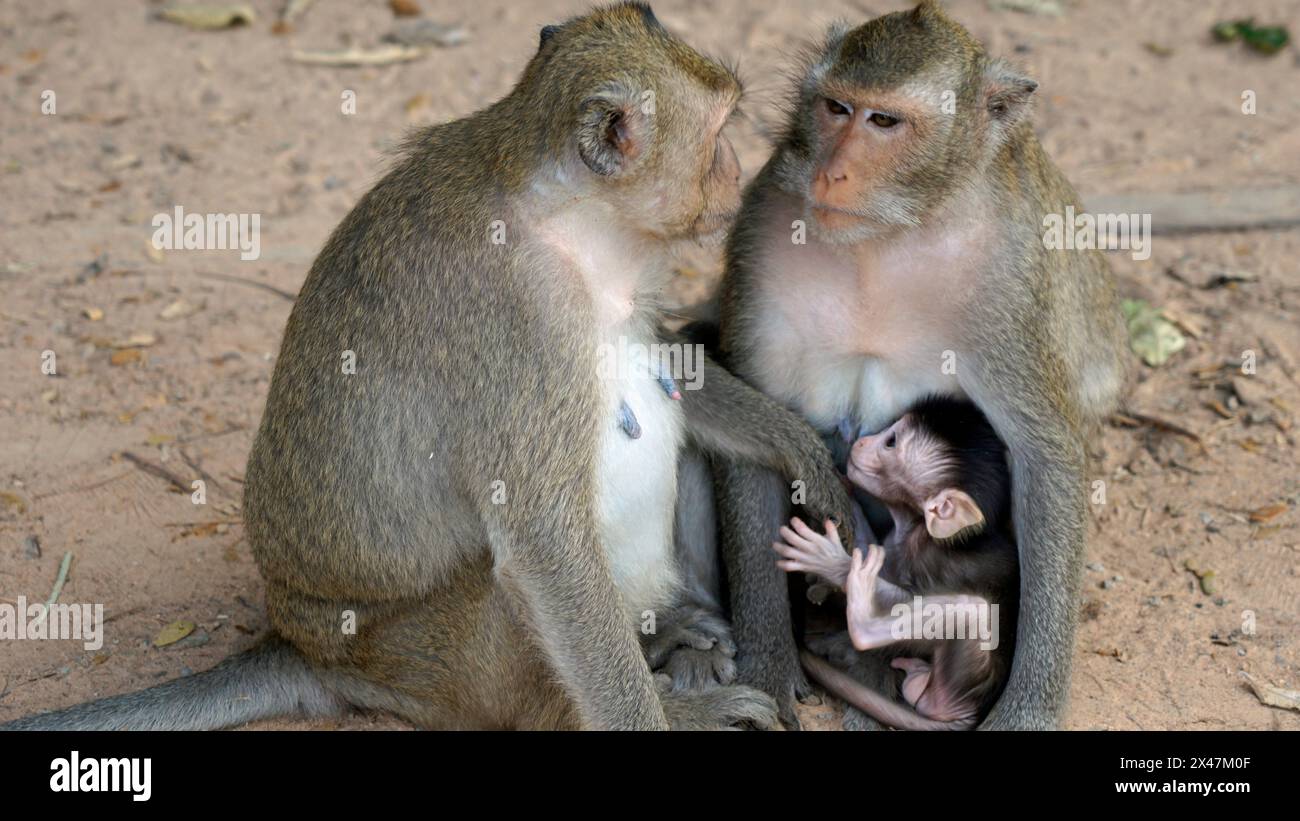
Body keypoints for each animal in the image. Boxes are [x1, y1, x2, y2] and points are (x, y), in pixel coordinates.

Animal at [2, 3, 853, 732]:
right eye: (718, 133)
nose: (736, 168)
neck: (568, 217)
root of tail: (303, 643)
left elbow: (675, 364)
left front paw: (799, 448)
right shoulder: (519, 321)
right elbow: (542, 541)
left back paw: (676, 624)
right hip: (428, 657)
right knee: (507, 591)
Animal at [773, 396, 1018, 730]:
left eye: (891, 442)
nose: (861, 441)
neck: (916, 528)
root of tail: (974, 712)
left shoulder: (929, 559)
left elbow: (905, 599)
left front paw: (833, 562)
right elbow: (874, 555)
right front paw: (844, 491)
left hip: (964, 679)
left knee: (972, 610)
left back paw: (861, 621)